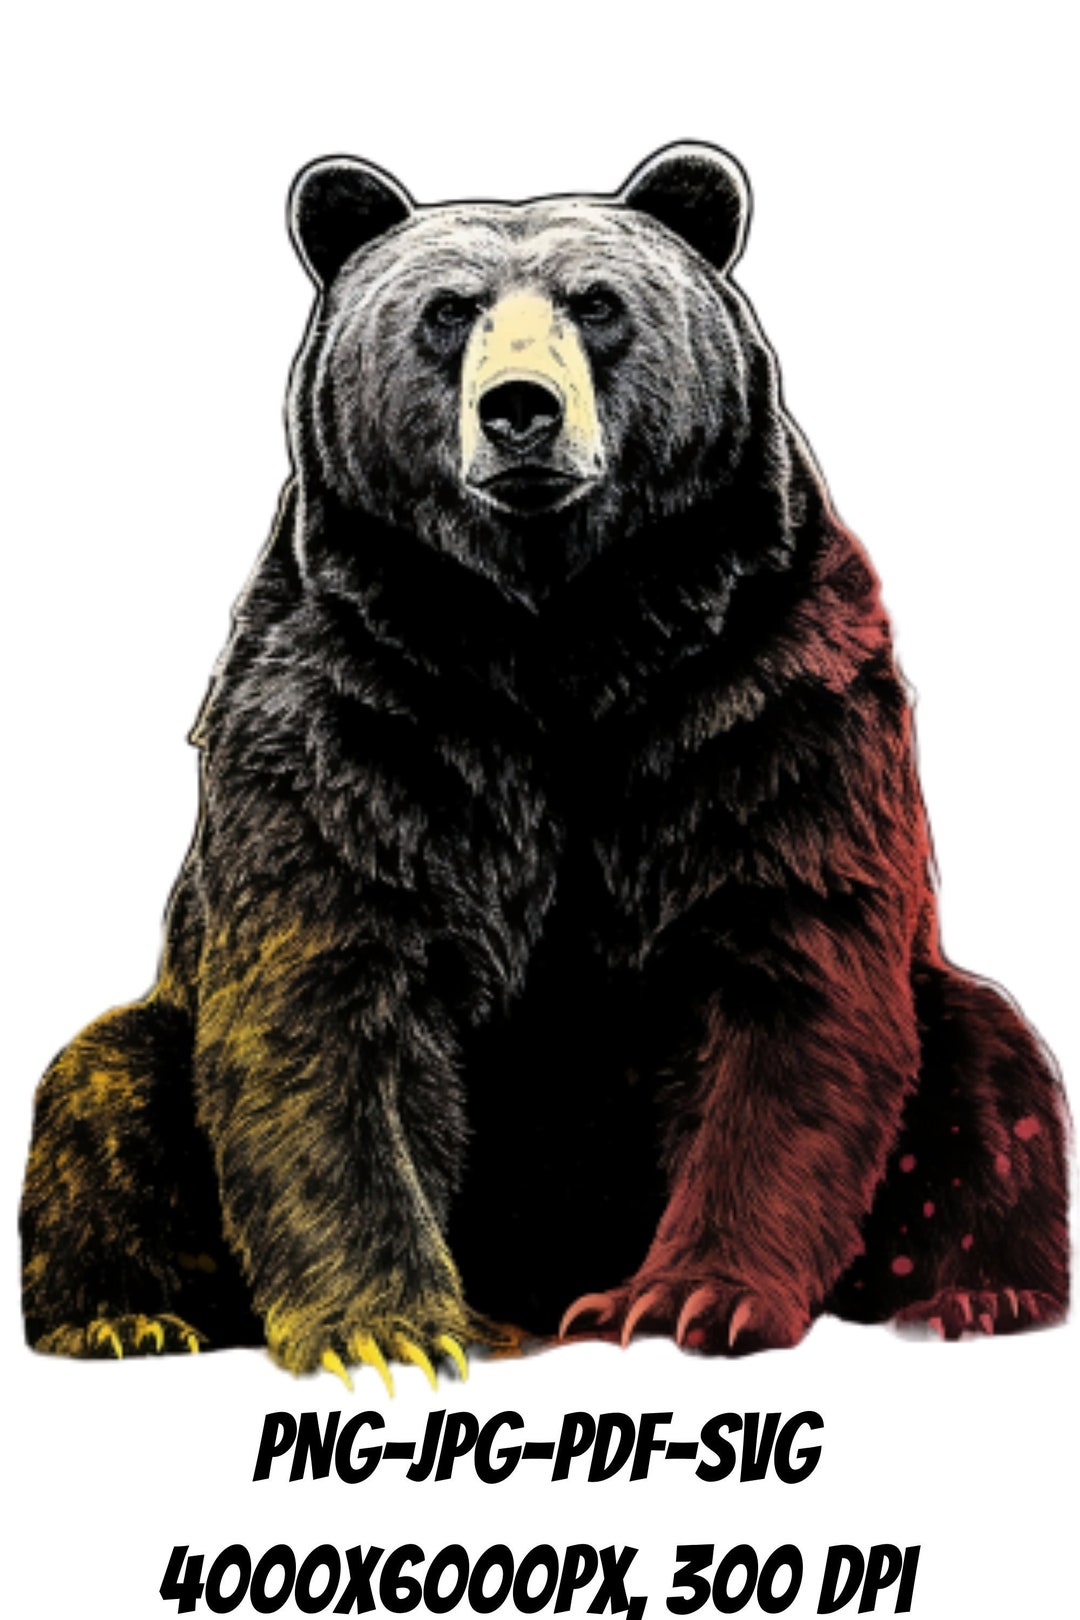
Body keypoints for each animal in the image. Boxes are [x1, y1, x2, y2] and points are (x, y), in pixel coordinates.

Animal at [21, 143, 1070, 1386]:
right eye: (447, 311)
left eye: (598, 303)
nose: (520, 406)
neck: (553, 638)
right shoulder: (358, 710)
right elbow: (329, 992)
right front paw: (384, 1325)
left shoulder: (755, 693)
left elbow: (786, 970)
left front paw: (696, 1296)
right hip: (160, 1036)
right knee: (102, 1083)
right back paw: (126, 1316)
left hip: (942, 1013)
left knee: (995, 1063)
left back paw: (982, 1292)